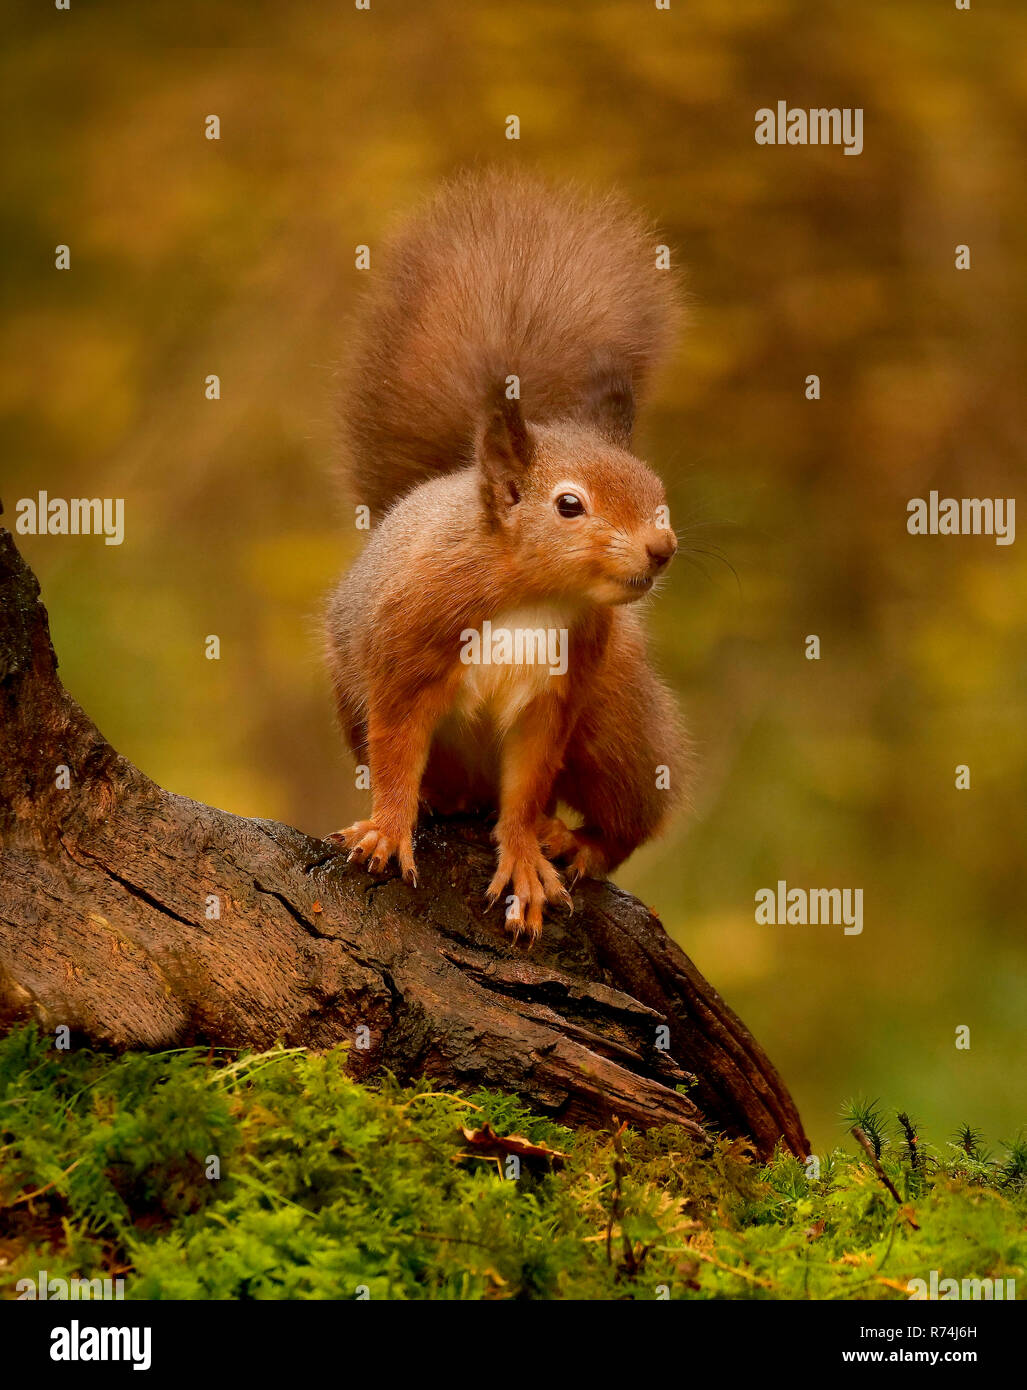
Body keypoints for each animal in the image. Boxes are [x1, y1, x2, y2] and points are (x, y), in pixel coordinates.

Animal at [325, 168, 684, 944]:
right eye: (569, 505)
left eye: (657, 493)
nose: (662, 548)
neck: (532, 593)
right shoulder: (407, 651)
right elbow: (396, 751)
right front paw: (387, 828)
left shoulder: (559, 693)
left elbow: (526, 789)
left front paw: (522, 859)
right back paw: (442, 804)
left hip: (615, 726)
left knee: (626, 820)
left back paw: (573, 840)